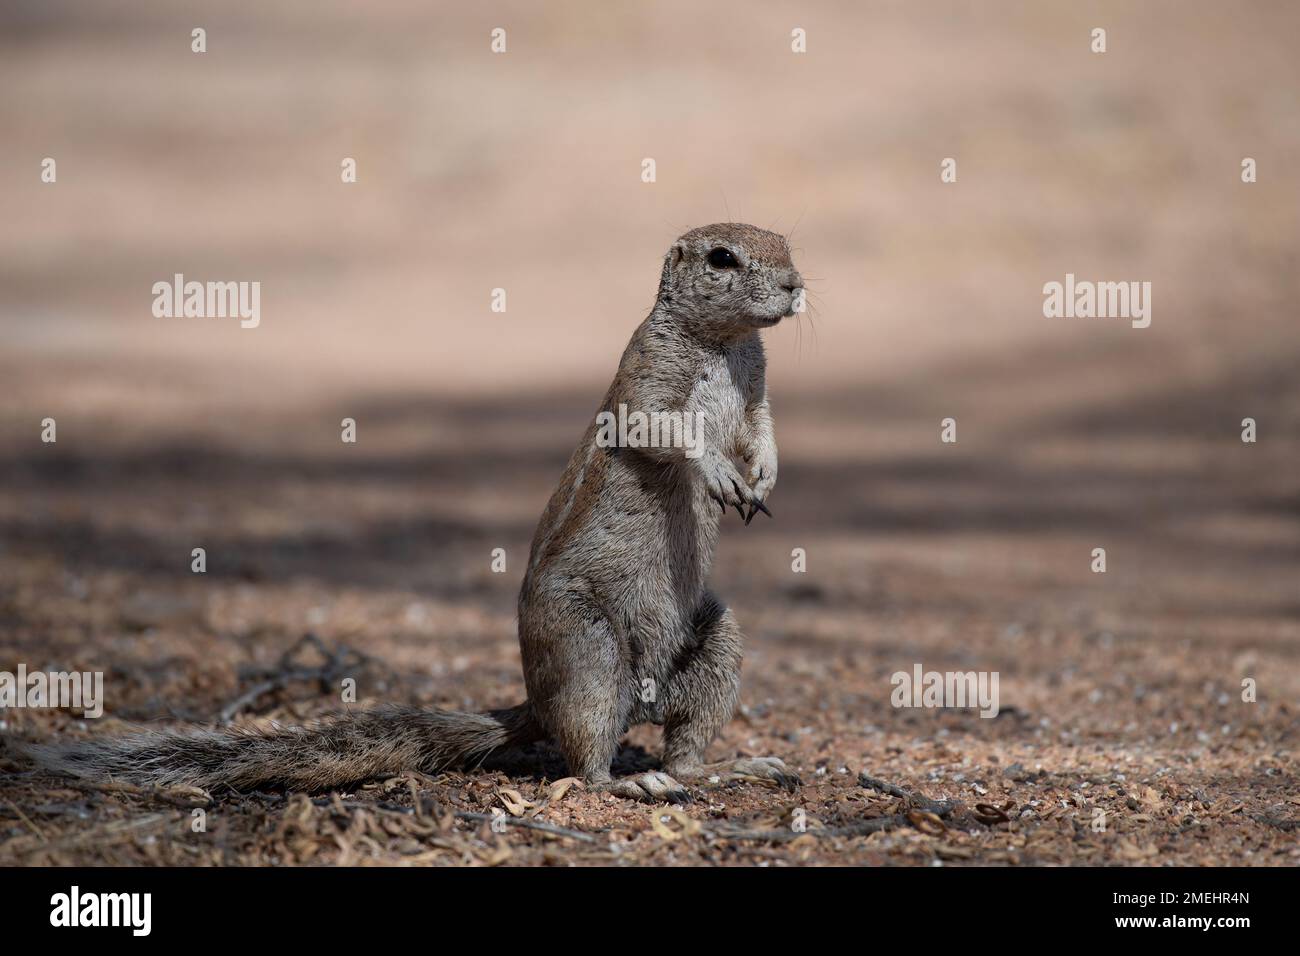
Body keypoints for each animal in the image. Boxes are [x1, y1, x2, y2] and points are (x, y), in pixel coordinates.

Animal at [26, 223, 804, 803]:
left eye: (785, 243)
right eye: (723, 257)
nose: (797, 285)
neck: (724, 342)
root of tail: (540, 700)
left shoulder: (758, 392)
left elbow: (763, 428)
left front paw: (765, 470)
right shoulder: (644, 379)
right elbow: (658, 428)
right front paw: (716, 469)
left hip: (714, 641)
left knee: (685, 750)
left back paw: (731, 767)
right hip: (588, 652)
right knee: (584, 763)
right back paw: (627, 784)